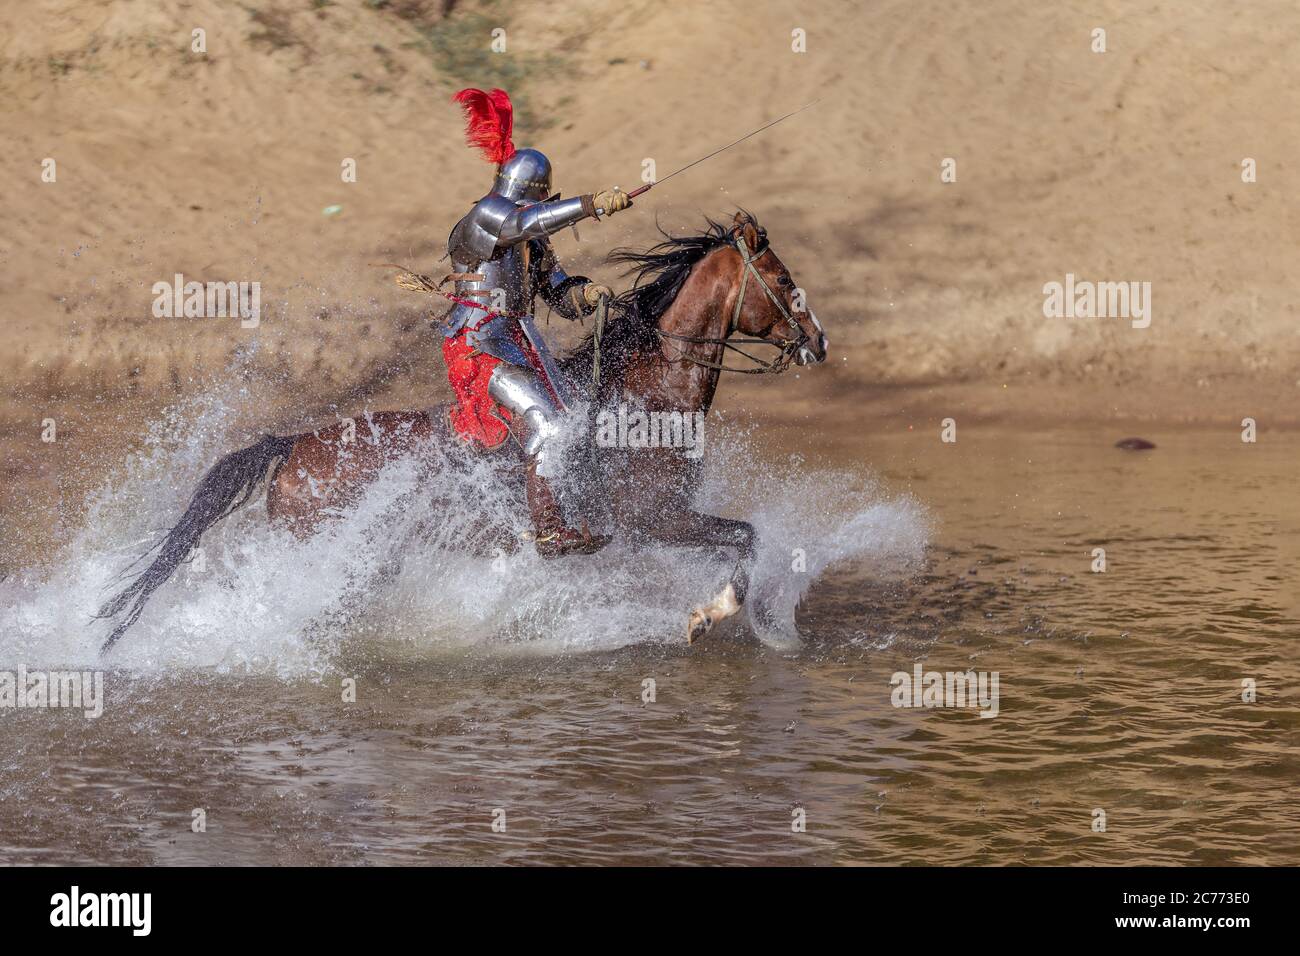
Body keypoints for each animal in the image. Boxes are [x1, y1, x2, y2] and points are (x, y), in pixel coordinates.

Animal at [96, 211, 829, 652]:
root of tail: (293, 448)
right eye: (784, 279)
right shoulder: (654, 518)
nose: (819, 342)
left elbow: (747, 539)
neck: (642, 397)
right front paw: (713, 614)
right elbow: (748, 540)